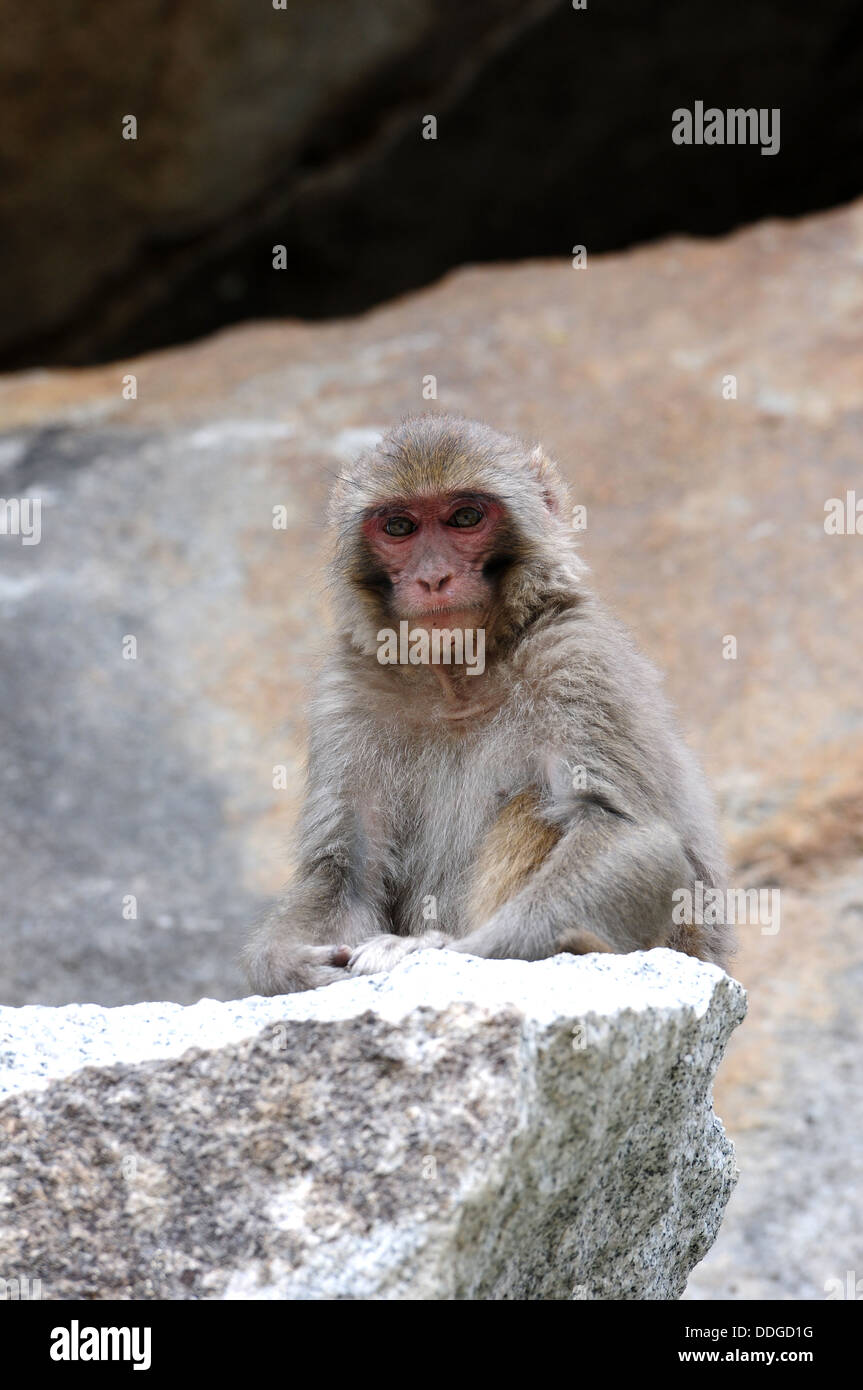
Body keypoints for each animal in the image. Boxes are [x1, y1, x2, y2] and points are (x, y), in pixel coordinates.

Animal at [243, 414, 733, 994]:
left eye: (466, 518)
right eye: (400, 527)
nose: (433, 577)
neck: (459, 678)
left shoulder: (575, 655)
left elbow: (628, 832)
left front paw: (444, 950)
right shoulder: (347, 692)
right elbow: (345, 871)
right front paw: (285, 965)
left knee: (536, 806)